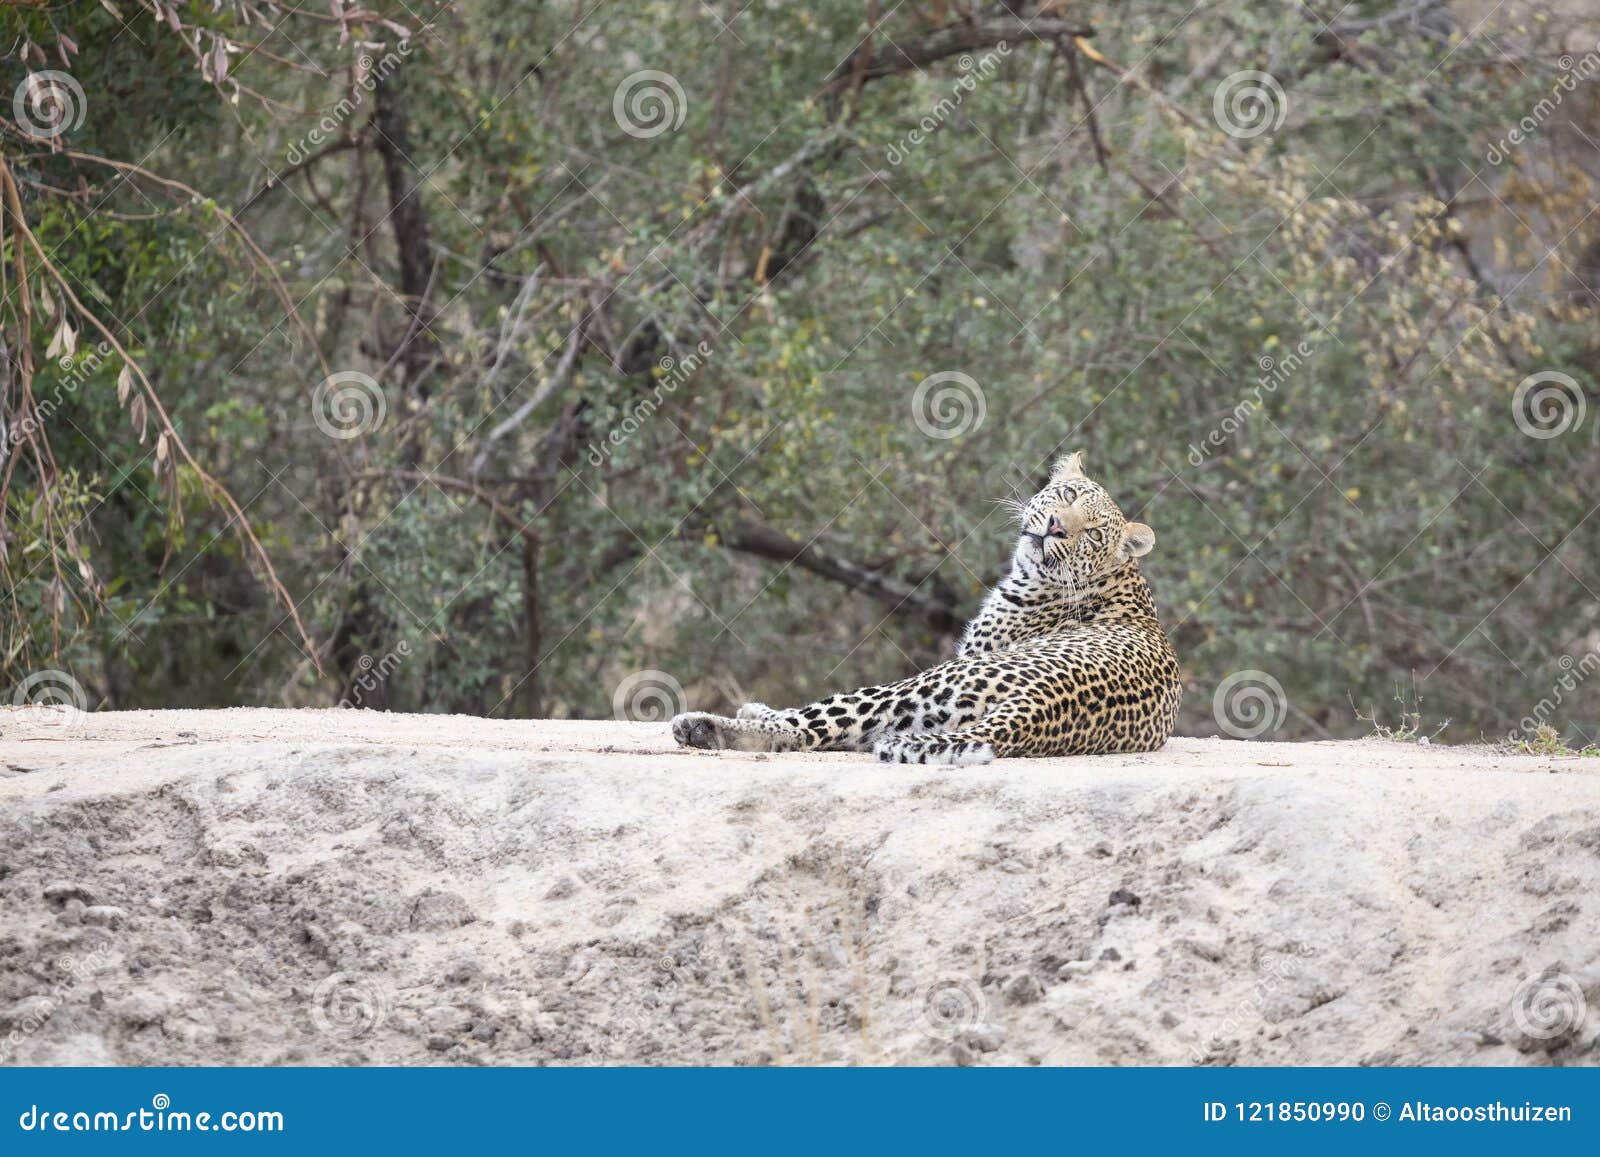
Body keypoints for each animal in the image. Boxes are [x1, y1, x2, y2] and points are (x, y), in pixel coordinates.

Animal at [670, 452, 1182, 764]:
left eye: (1093, 535)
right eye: (1068, 495)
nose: (1055, 526)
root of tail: (1035, 708)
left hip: (916, 686)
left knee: (809, 729)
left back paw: (706, 725)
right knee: (839, 734)